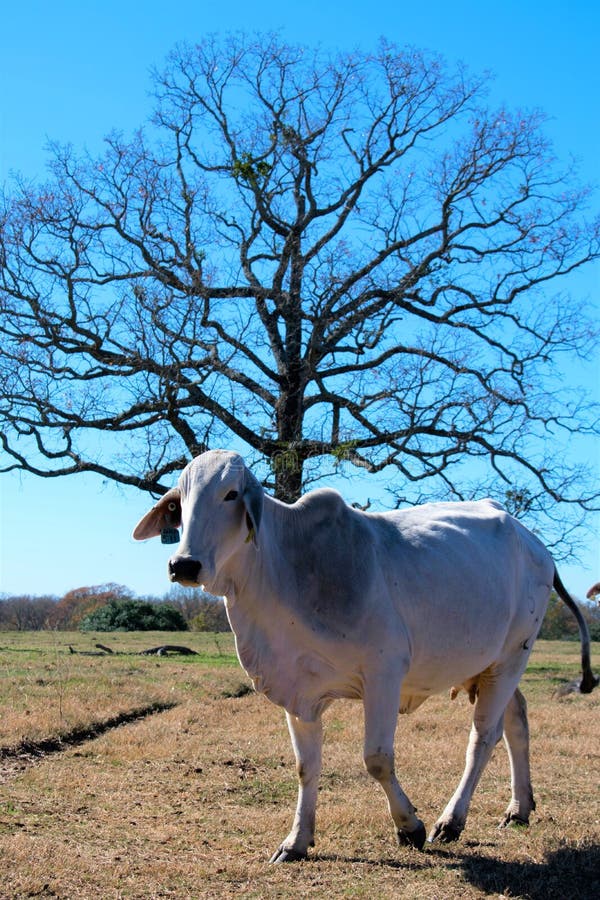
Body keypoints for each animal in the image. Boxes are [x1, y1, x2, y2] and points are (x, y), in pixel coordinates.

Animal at [133, 449, 598, 861]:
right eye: (179, 501)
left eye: (230, 494)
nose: (183, 565)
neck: (287, 569)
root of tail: (533, 541)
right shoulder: (297, 688)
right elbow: (306, 766)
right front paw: (297, 841)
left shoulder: (384, 675)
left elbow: (376, 759)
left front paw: (411, 827)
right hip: (491, 665)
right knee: (516, 720)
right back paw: (519, 809)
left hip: (512, 655)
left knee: (483, 737)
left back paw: (452, 820)